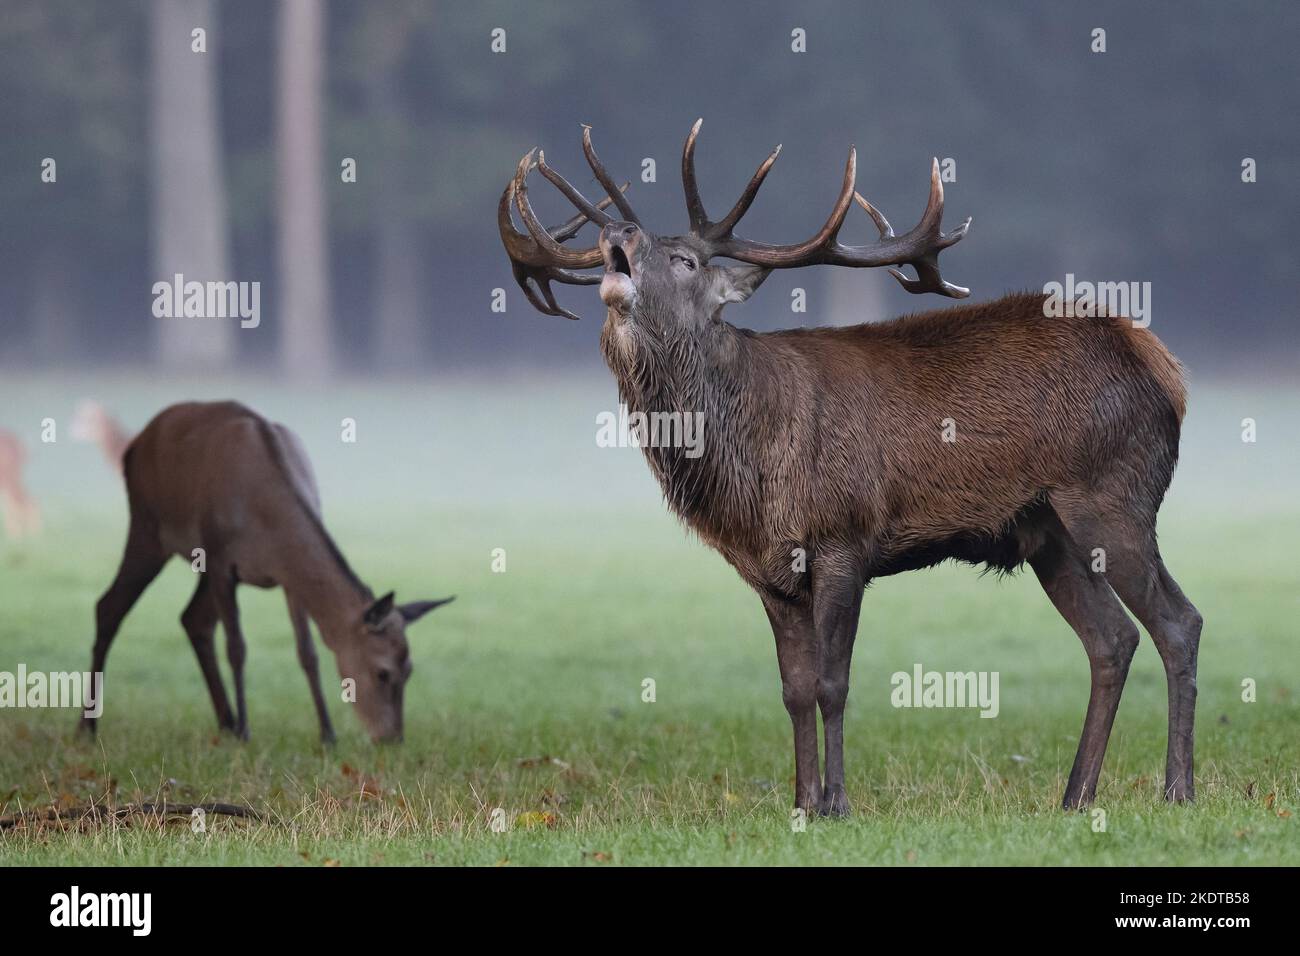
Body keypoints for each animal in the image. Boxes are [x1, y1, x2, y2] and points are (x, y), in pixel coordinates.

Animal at [81, 401, 453, 743]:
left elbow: (308, 652)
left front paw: (328, 735)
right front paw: (247, 731)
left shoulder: (288, 579)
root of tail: (137, 442)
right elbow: (237, 648)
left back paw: (225, 723)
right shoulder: (220, 560)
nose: (392, 738)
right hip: (148, 525)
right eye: (382, 673)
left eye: (410, 670)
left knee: (193, 619)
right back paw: (87, 726)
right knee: (108, 606)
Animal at [498, 120, 1201, 815]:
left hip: (1113, 496)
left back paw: (1178, 790)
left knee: (1178, 621)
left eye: (685, 260)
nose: (616, 233)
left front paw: (837, 802)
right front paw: (801, 802)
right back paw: (1076, 796)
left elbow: (833, 683)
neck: (753, 470)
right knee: (1112, 640)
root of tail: (1165, 366)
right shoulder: (769, 572)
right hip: (1047, 532)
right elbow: (793, 688)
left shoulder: (844, 538)